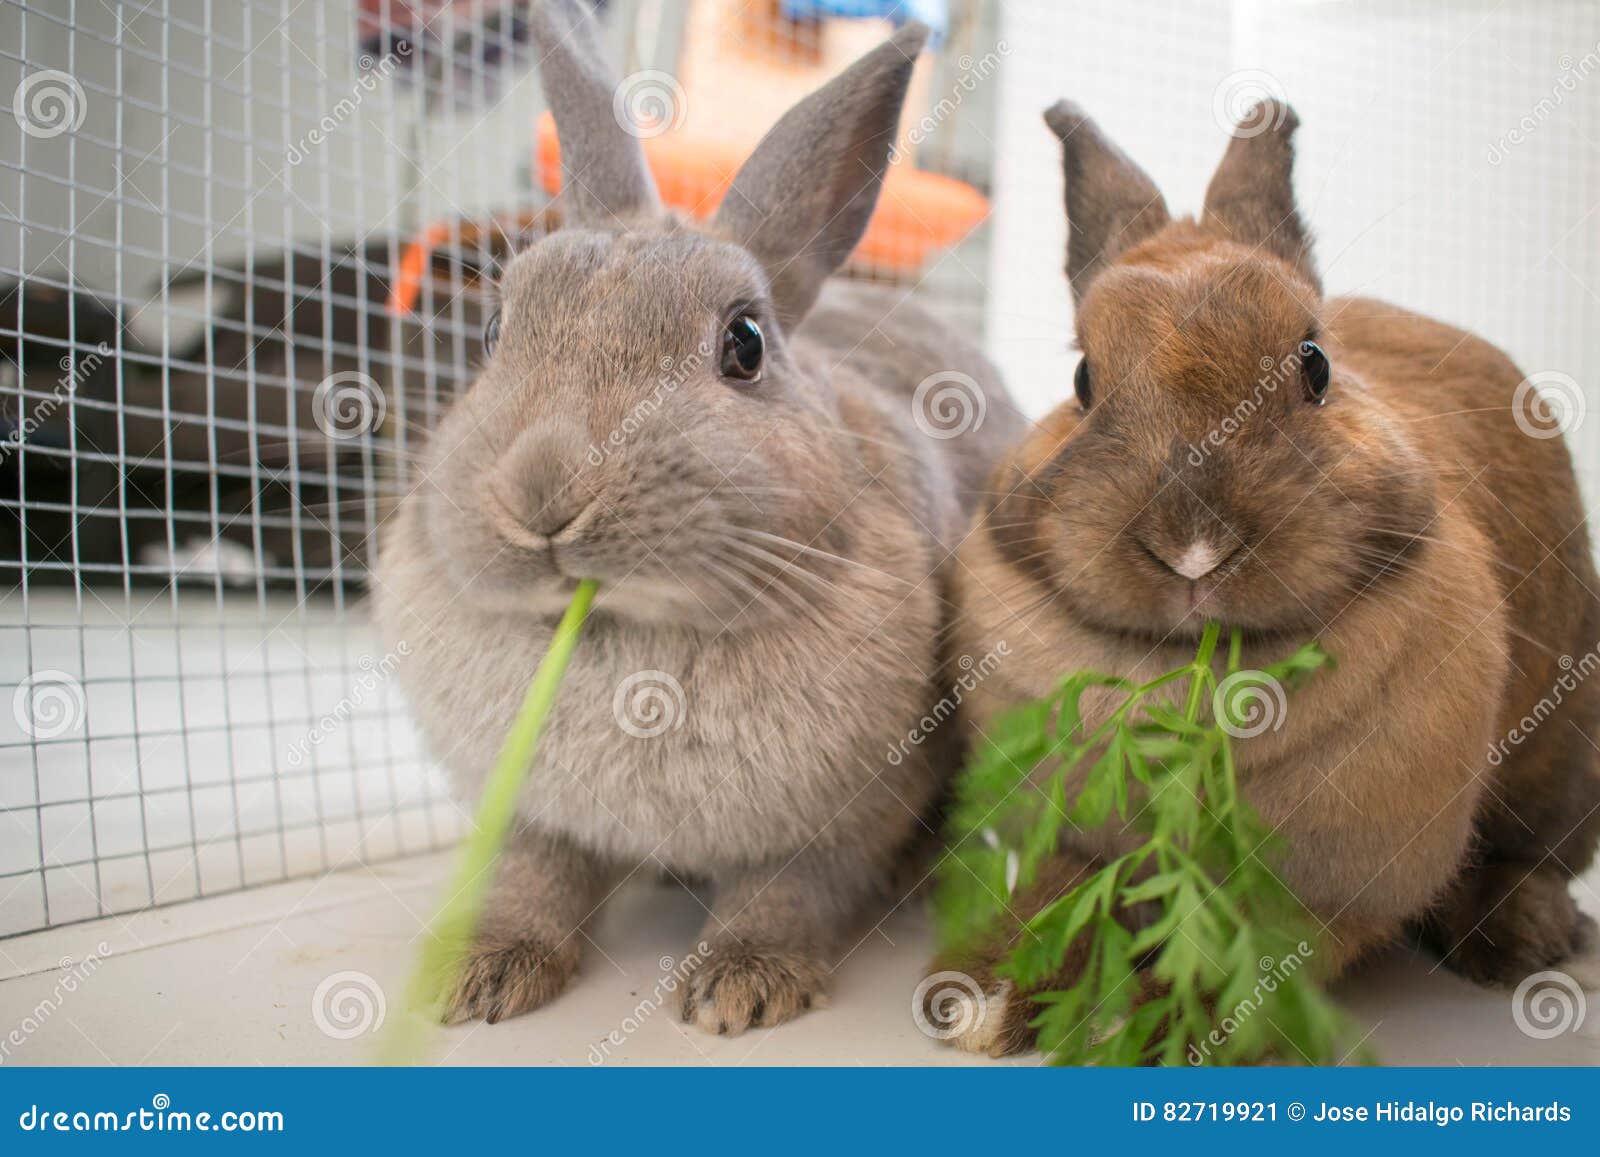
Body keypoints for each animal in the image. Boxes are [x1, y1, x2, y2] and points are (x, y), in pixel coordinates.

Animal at [373, 0, 1023, 1034]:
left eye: (745, 344)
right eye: (494, 331)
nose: (545, 493)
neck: (620, 632)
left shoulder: (843, 818)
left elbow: (787, 893)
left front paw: (741, 987)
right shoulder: (528, 815)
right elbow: (531, 879)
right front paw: (479, 975)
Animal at [924, 98, 1600, 1057]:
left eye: (1315, 363)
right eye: (1083, 379)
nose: (1194, 546)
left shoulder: (1328, 891)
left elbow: (1258, 953)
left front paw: (1166, 1030)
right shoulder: (1065, 830)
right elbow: (1054, 893)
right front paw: (980, 998)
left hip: (1565, 748)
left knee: (1535, 851)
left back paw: (1525, 937)